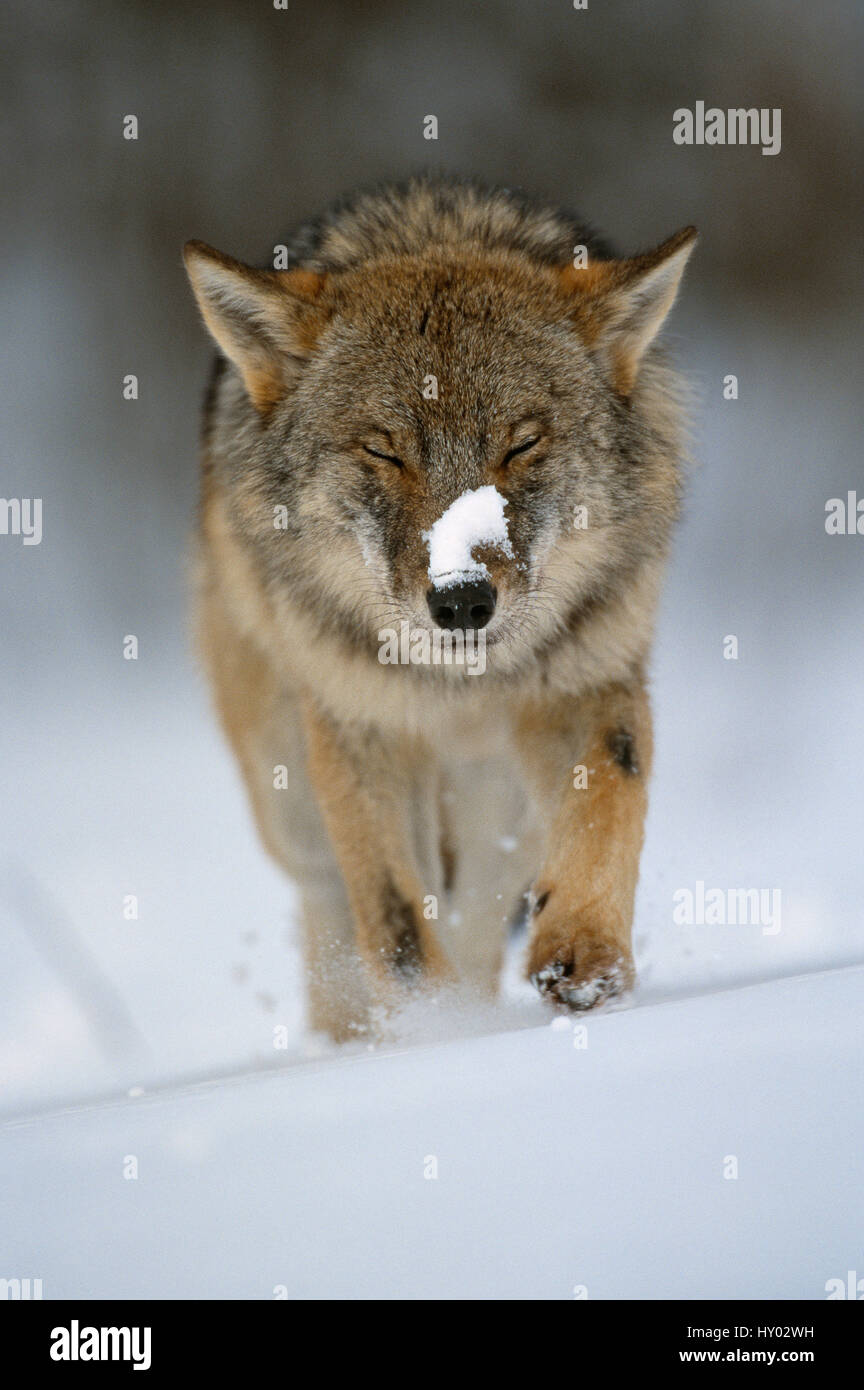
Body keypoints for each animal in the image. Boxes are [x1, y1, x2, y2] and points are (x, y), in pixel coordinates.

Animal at [183, 178, 696, 1039]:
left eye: (520, 445)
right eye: (384, 451)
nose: (462, 601)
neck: (461, 690)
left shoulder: (586, 690)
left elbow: (610, 808)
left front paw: (585, 954)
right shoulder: (361, 731)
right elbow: (393, 922)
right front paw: (433, 1029)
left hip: (499, 805)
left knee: (480, 912)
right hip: (290, 798)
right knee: (334, 909)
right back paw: (361, 1040)